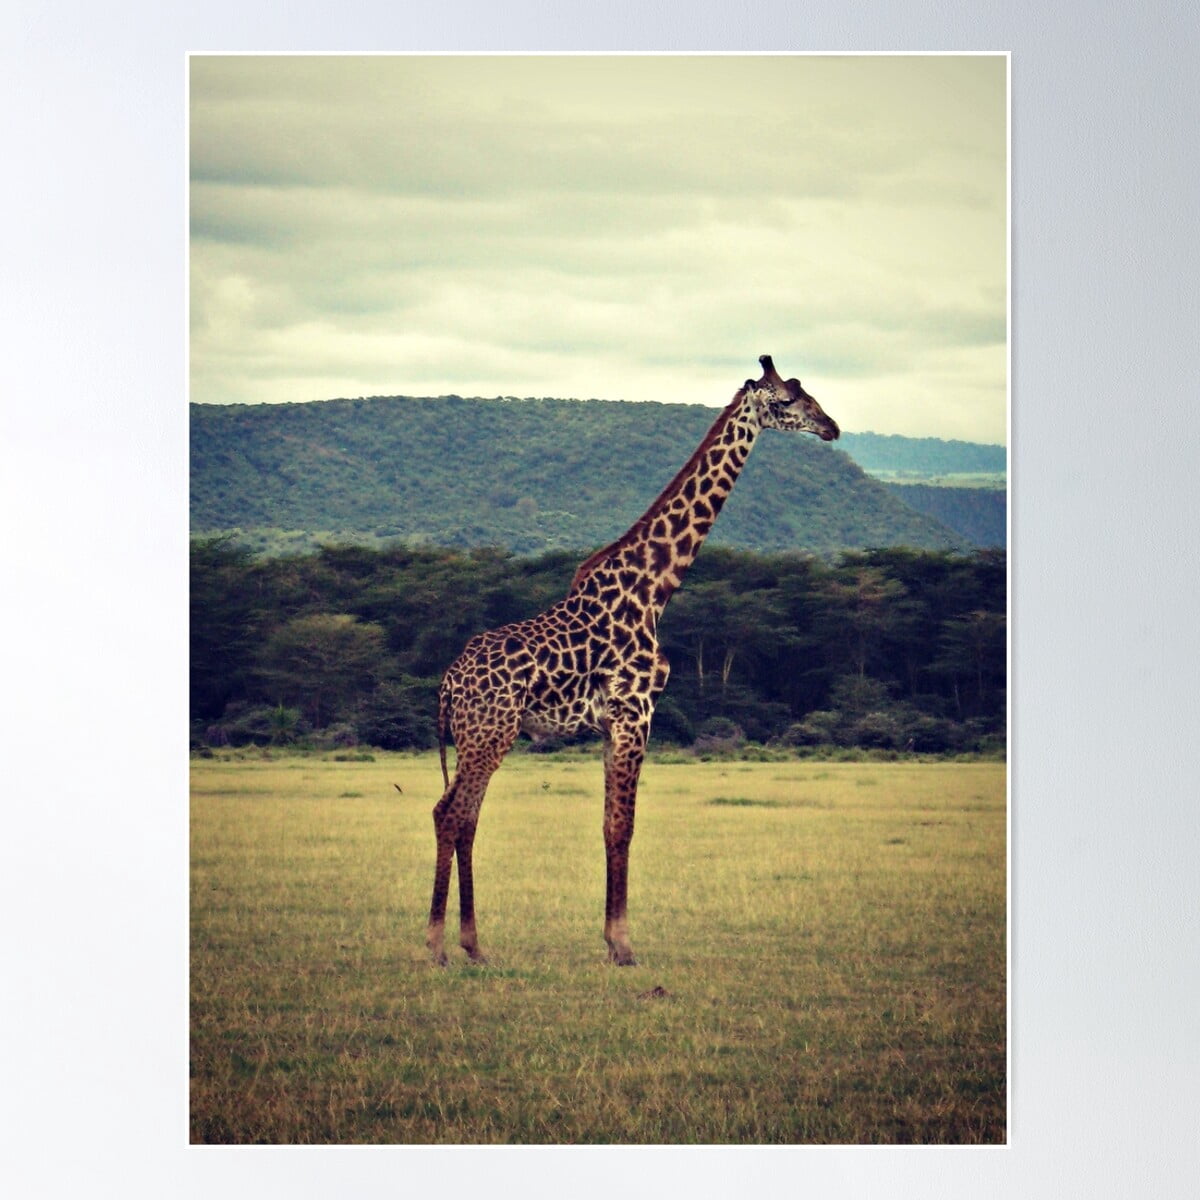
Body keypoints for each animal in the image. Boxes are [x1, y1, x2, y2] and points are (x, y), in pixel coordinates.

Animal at [426, 355, 840, 966]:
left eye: (805, 391)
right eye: (787, 400)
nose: (831, 427)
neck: (655, 588)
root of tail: (449, 683)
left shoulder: (612, 723)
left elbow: (607, 823)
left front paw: (611, 938)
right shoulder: (635, 711)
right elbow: (623, 826)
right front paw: (622, 946)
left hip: (478, 735)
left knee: (462, 816)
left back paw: (472, 946)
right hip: (489, 732)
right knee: (452, 813)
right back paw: (437, 945)